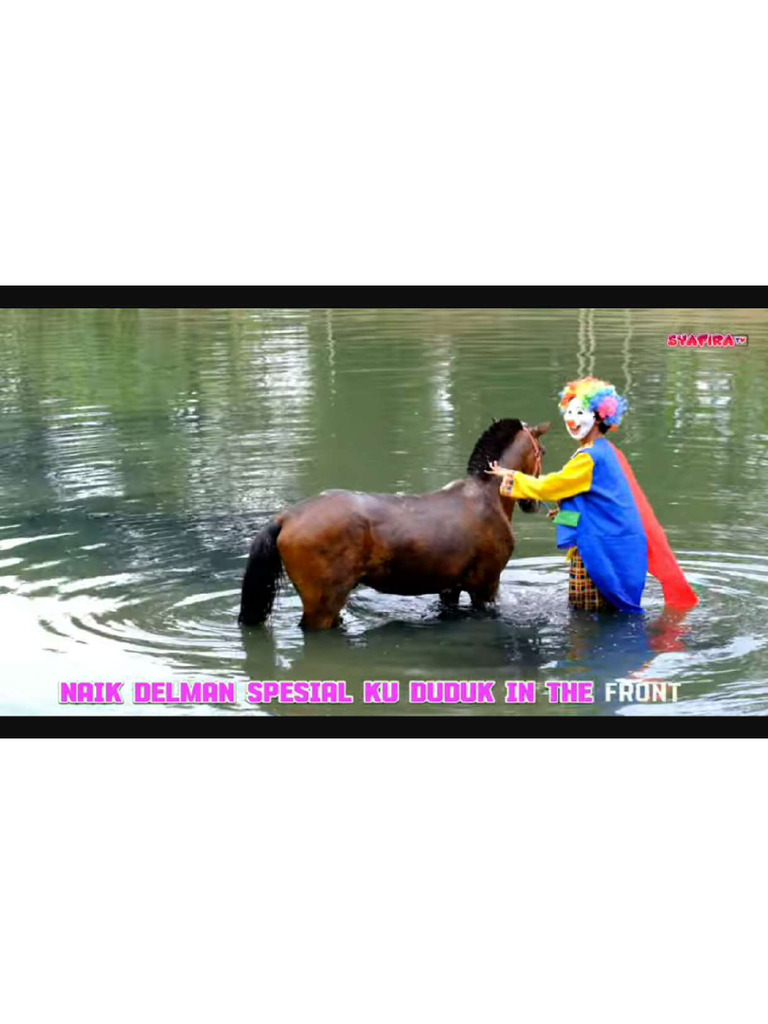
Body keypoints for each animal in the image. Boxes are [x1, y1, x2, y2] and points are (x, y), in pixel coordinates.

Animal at [238, 418, 550, 630]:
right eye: (543, 452)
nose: (532, 503)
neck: (486, 495)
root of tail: (286, 516)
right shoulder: (485, 586)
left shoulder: (450, 588)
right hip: (322, 606)